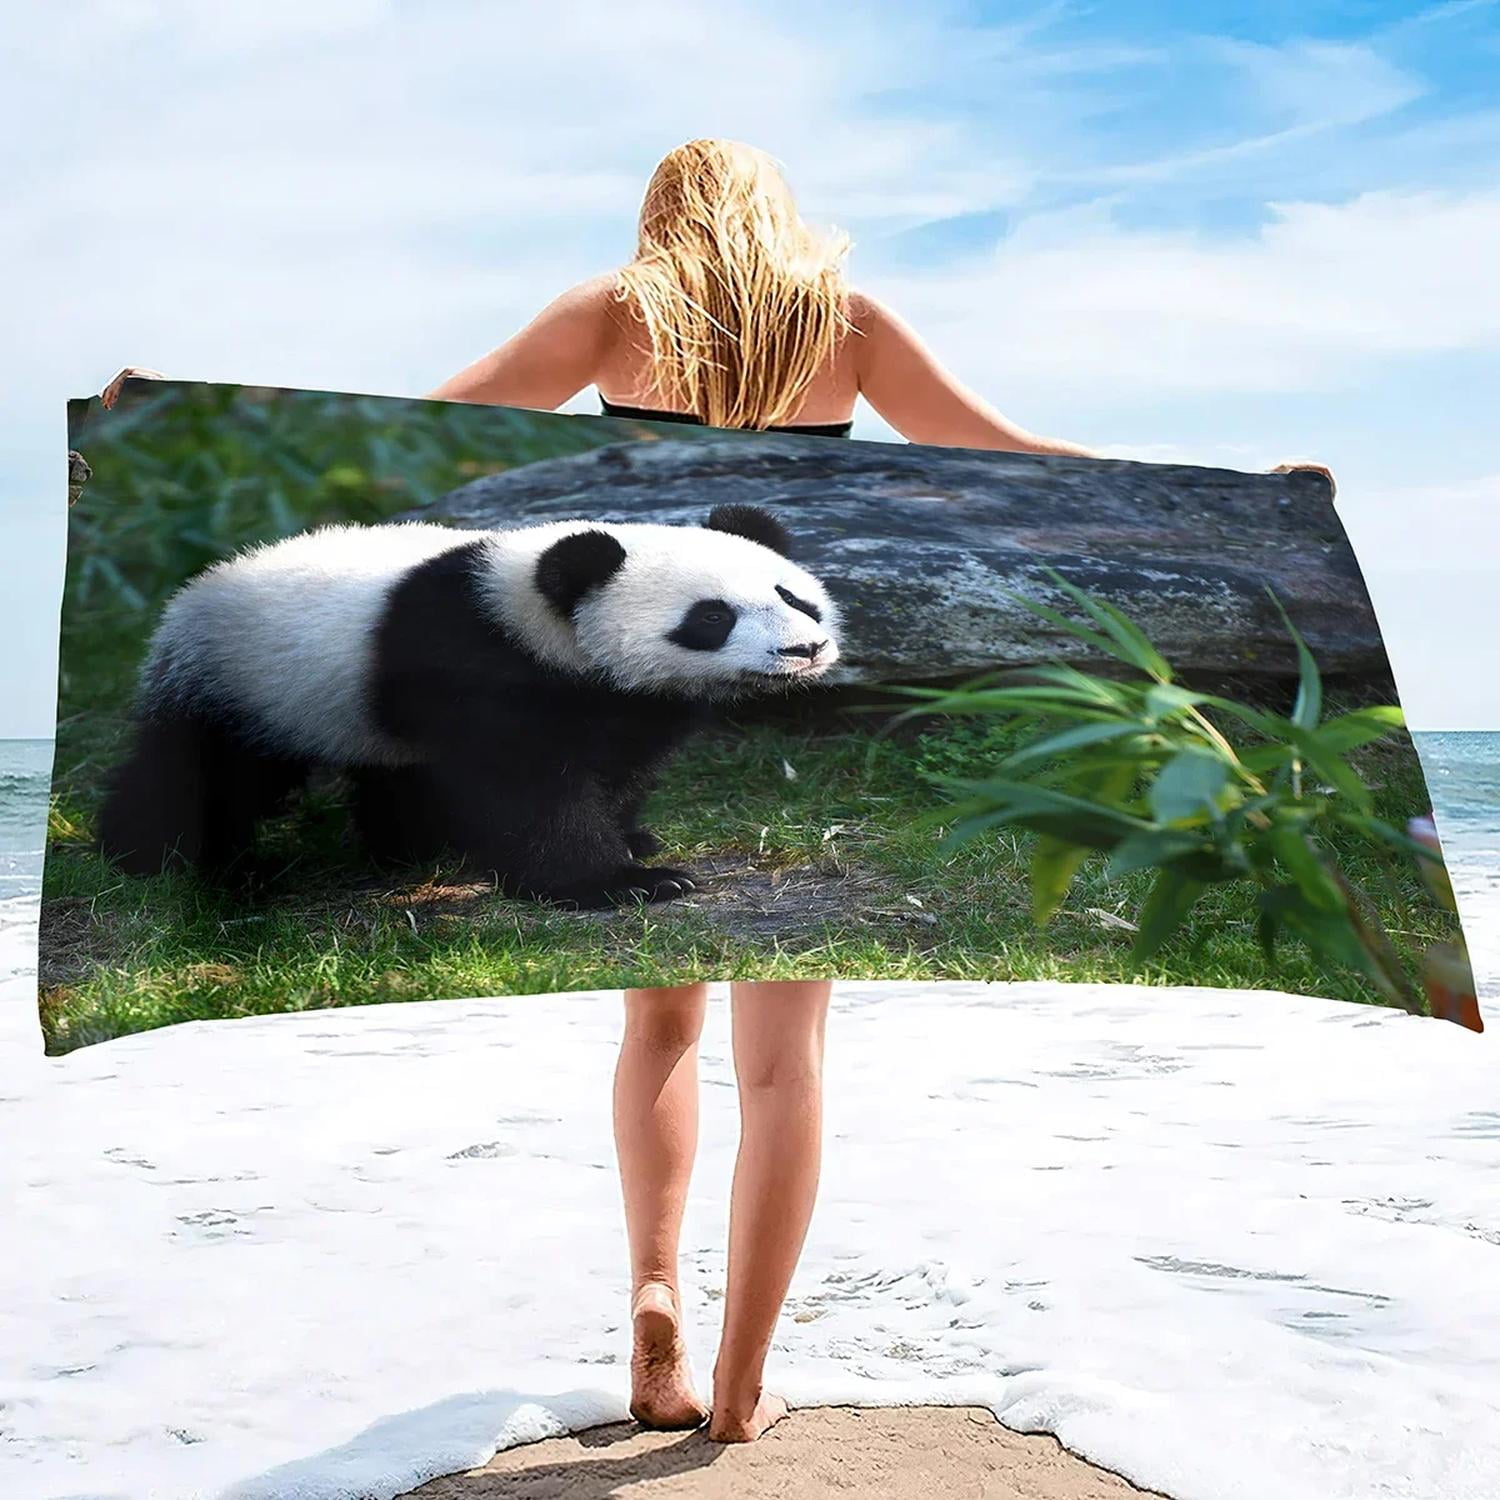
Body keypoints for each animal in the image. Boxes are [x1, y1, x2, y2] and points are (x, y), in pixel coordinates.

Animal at [98, 504, 840, 908]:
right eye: (711, 617)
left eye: (792, 596)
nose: (804, 649)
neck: (533, 616)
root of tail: (191, 593)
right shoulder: (476, 660)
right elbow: (530, 788)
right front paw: (622, 882)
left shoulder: (619, 697)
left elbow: (620, 759)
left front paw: (632, 837)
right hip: (244, 681)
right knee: (208, 773)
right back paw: (165, 858)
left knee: (393, 774)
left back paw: (408, 849)